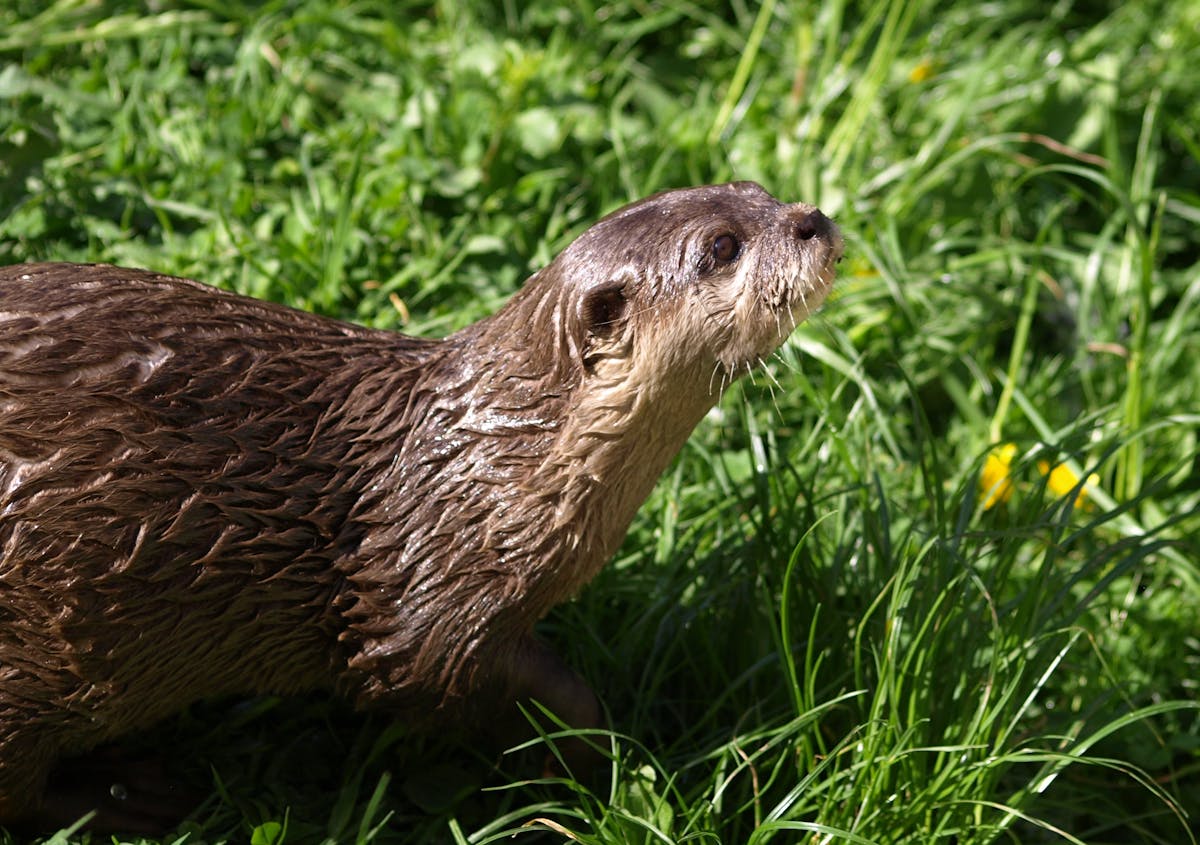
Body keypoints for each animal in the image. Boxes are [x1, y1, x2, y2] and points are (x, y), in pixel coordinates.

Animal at [0, 181, 842, 830]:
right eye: (723, 246)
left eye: (757, 191)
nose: (814, 219)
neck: (492, 467)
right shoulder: (429, 603)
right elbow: (457, 675)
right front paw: (598, 757)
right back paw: (121, 796)